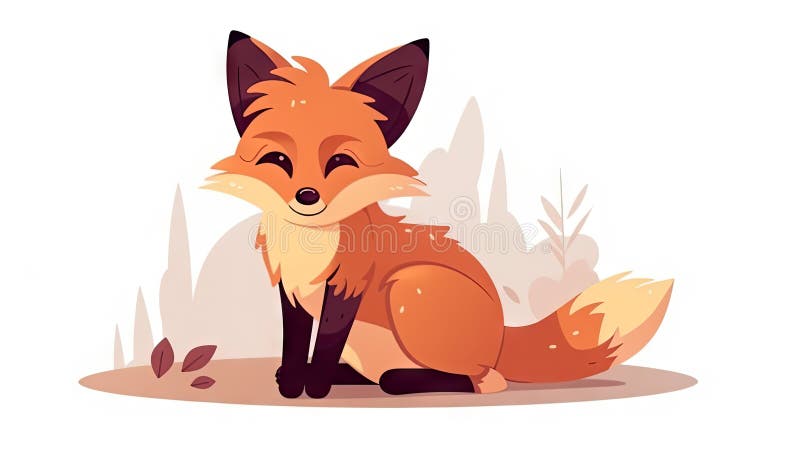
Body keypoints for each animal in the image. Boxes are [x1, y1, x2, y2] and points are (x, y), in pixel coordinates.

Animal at [204, 30, 673, 398]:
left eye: (340, 162)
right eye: (278, 160)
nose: (306, 196)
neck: (311, 244)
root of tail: (501, 337)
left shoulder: (348, 286)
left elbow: (324, 344)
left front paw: (314, 386)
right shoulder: (291, 288)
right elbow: (295, 340)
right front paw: (293, 381)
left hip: (409, 288)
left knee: (485, 381)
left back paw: (395, 380)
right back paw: (350, 376)